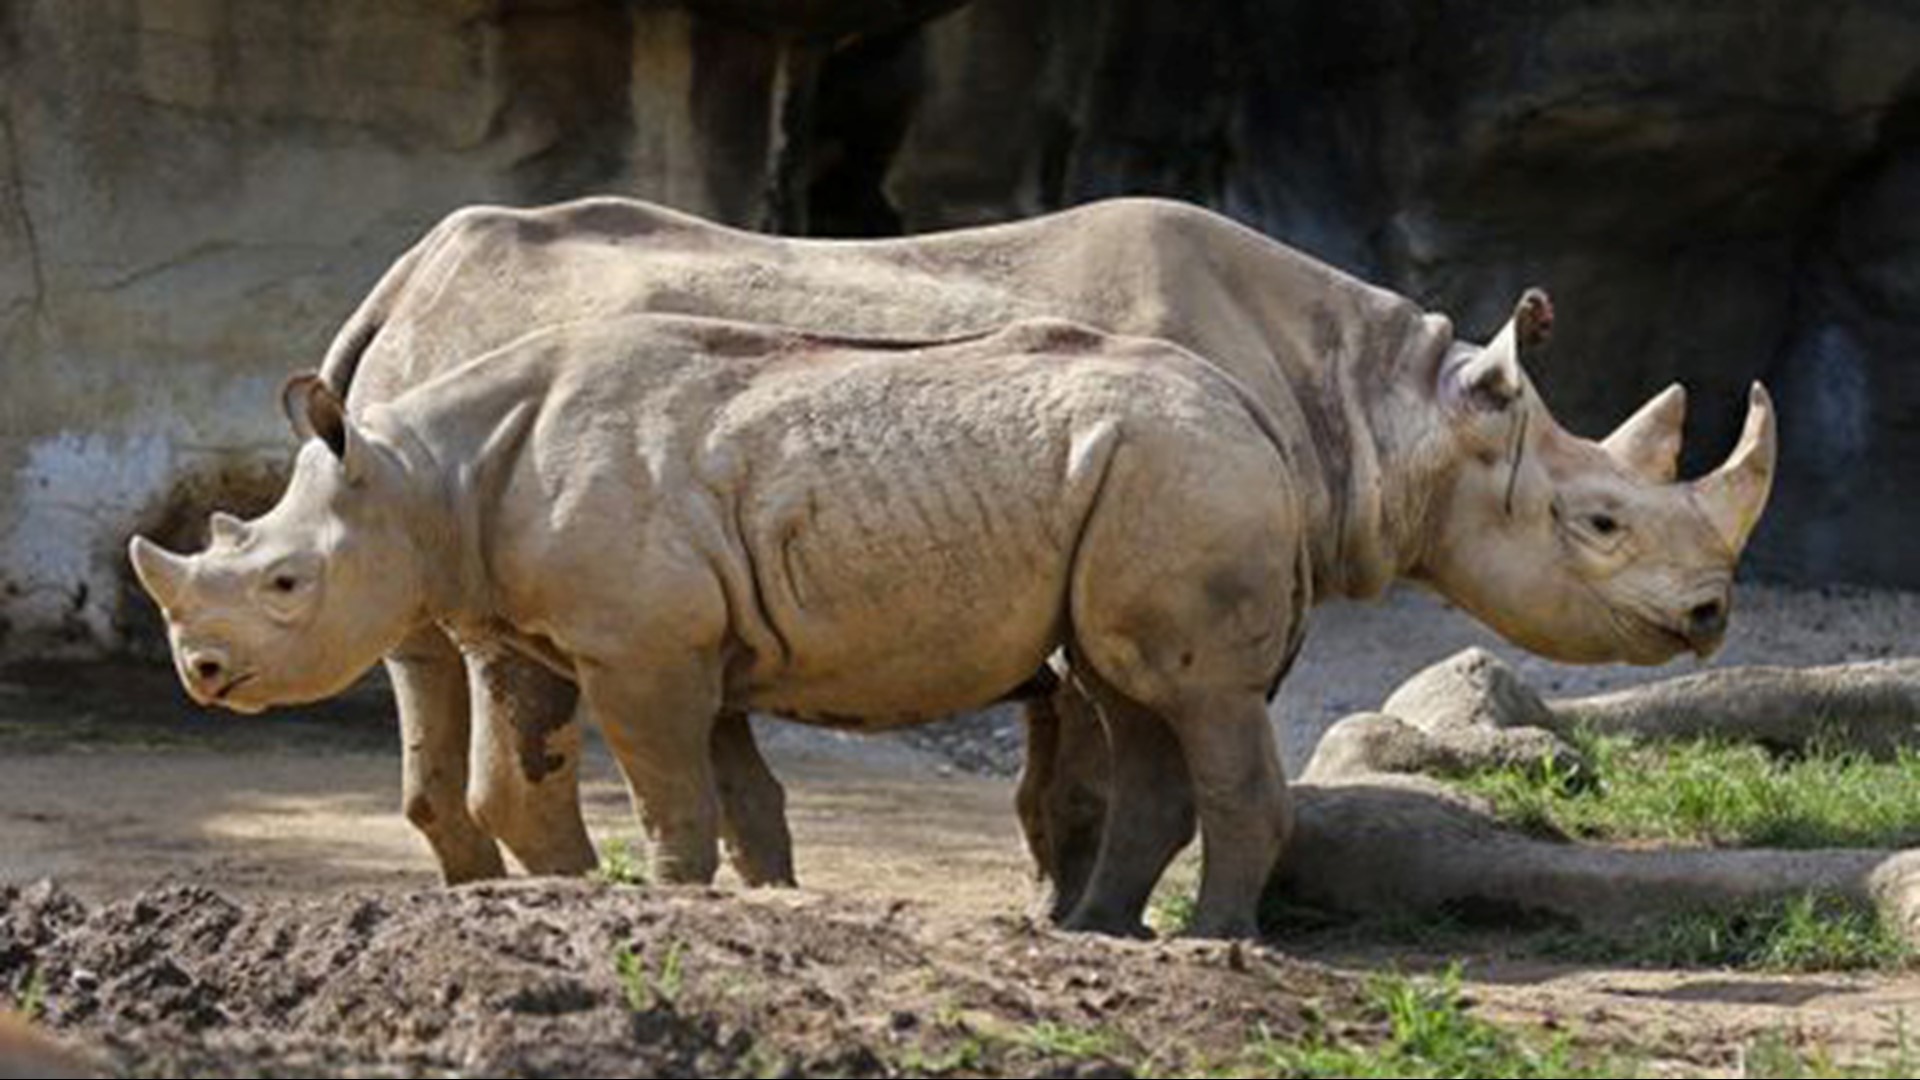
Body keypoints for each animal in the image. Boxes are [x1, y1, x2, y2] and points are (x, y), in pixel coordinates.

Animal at [148, 197, 1777, 935]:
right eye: (1602, 523)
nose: (1710, 618)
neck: (1382, 406)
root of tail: (406, 273)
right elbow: (1082, 773)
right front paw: (1069, 914)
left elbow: (1085, 765)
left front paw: (1067, 915)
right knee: (511, 679)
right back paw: (567, 898)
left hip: (416, 425)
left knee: (433, 653)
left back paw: (499, 901)